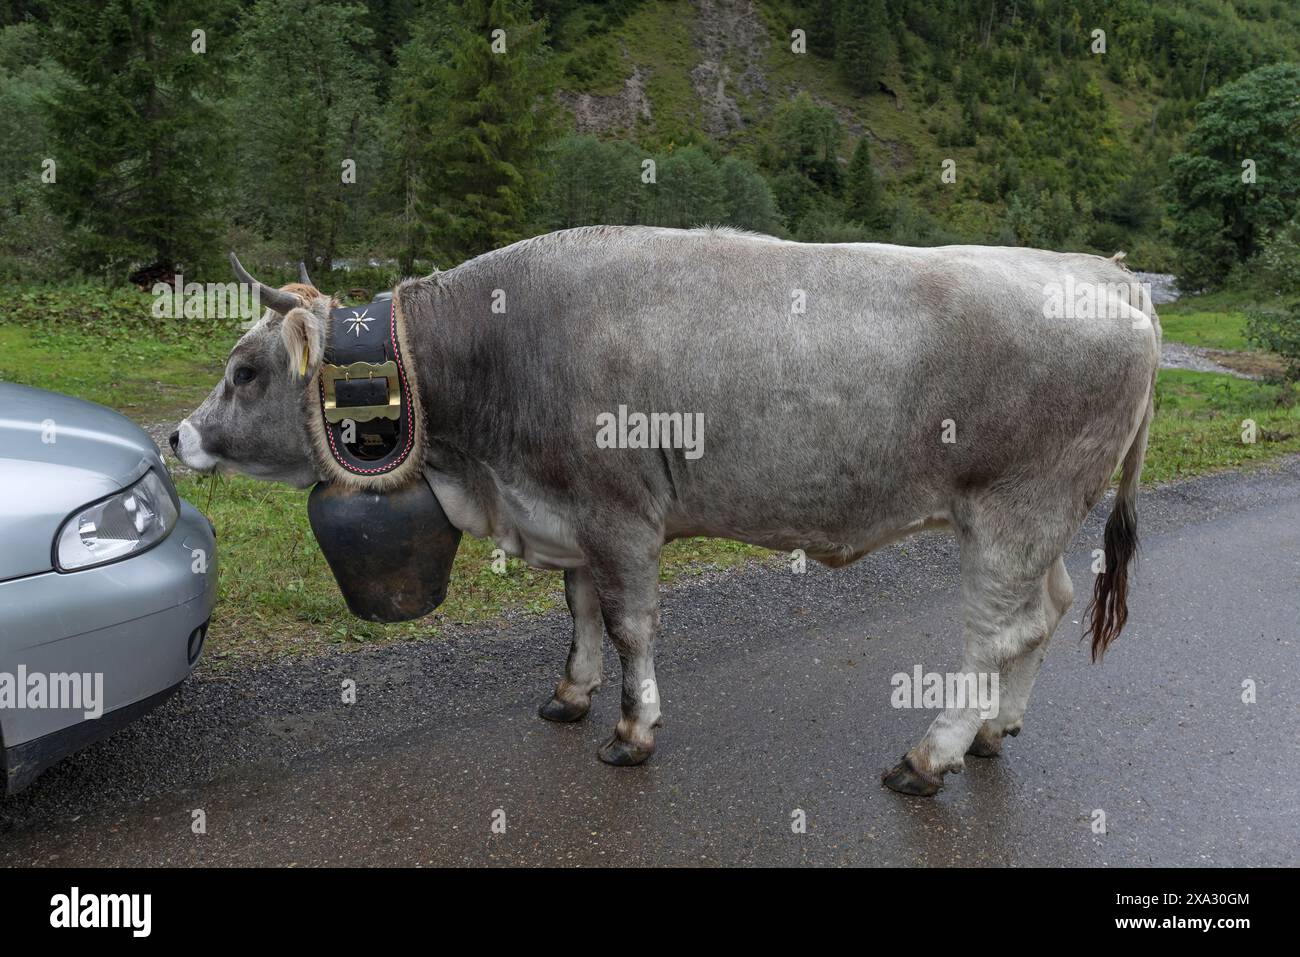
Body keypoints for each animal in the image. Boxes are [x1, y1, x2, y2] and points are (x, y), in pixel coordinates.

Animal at [172, 225, 1160, 795]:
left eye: (246, 370)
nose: (180, 436)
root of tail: (1113, 277)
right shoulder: (565, 510)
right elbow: (577, 613)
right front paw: (571, 694)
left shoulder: (621, 514)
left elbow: (629, 625)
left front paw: (631, 731)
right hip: (1040, 520)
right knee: (1047, 612)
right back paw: (994, 729)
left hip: (1015, 509)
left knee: (996, 633)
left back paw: (931, 756)